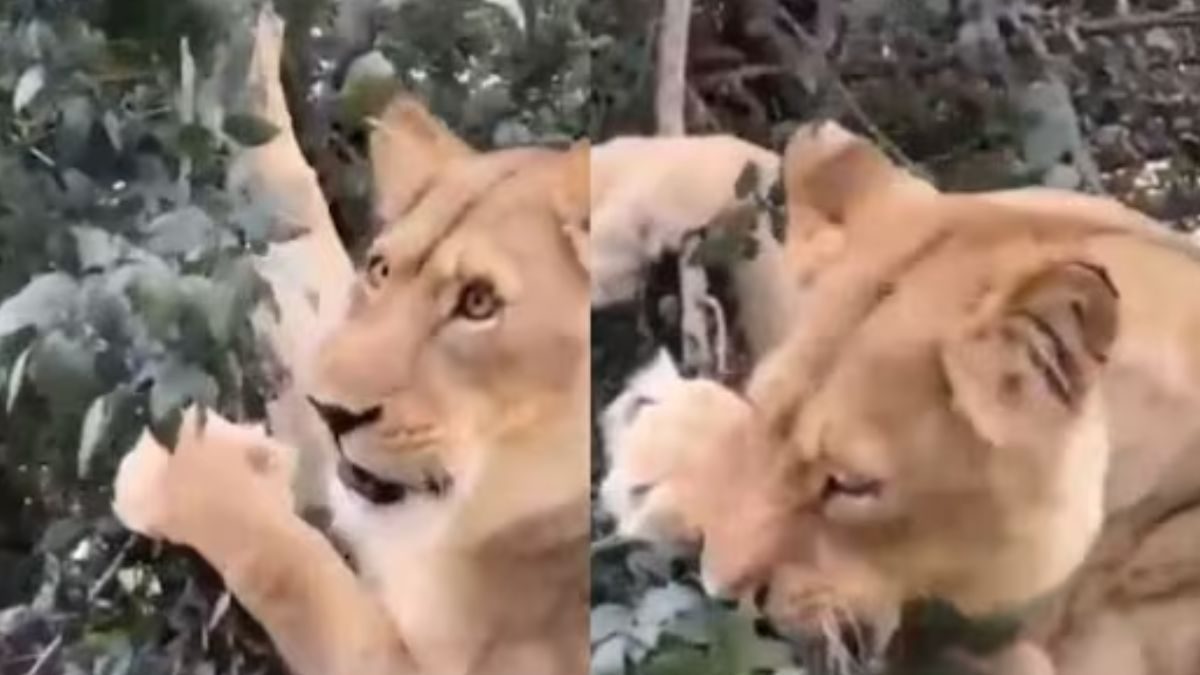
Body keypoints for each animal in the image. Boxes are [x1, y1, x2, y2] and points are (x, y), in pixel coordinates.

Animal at [113, 98, 591, 675]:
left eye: (479, 302)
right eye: (380, 270)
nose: (332, 413)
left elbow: (288, 570)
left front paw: (183, 469)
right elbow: (293, 203)